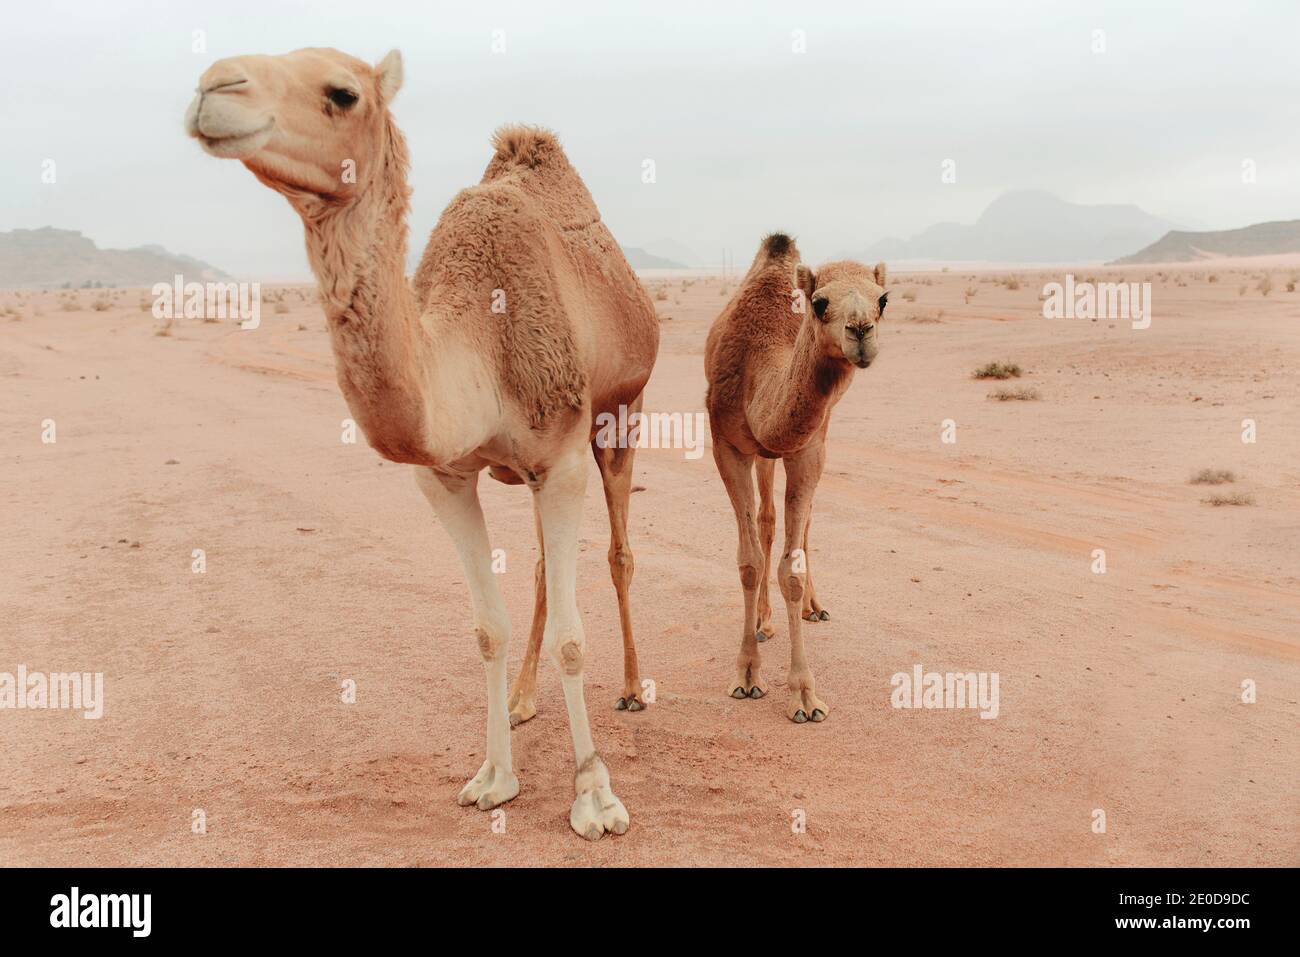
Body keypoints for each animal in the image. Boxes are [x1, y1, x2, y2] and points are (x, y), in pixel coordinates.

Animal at [184, 48, 658, 840]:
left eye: (343, 93)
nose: (213, 88)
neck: (481, 339)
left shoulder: (561, 456)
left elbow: (573, 633)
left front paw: (595, 797)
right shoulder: (445, 475)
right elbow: (488, 626)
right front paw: (494, 775)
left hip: (620, 414)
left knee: (620, 551)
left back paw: (629, 686)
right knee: (539, 566)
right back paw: (523, 698)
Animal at [704, 233, 886, 723]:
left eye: (884, 299)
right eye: (819, 303)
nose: (861, 332)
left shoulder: (807, 448)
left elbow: (793, 567)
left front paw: (804, 695)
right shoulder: (727, 445)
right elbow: (749, 561)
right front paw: (748, 674)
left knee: (801, 525)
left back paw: (813, 608)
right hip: (763, 455)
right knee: (766, 519)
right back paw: (763, 621)